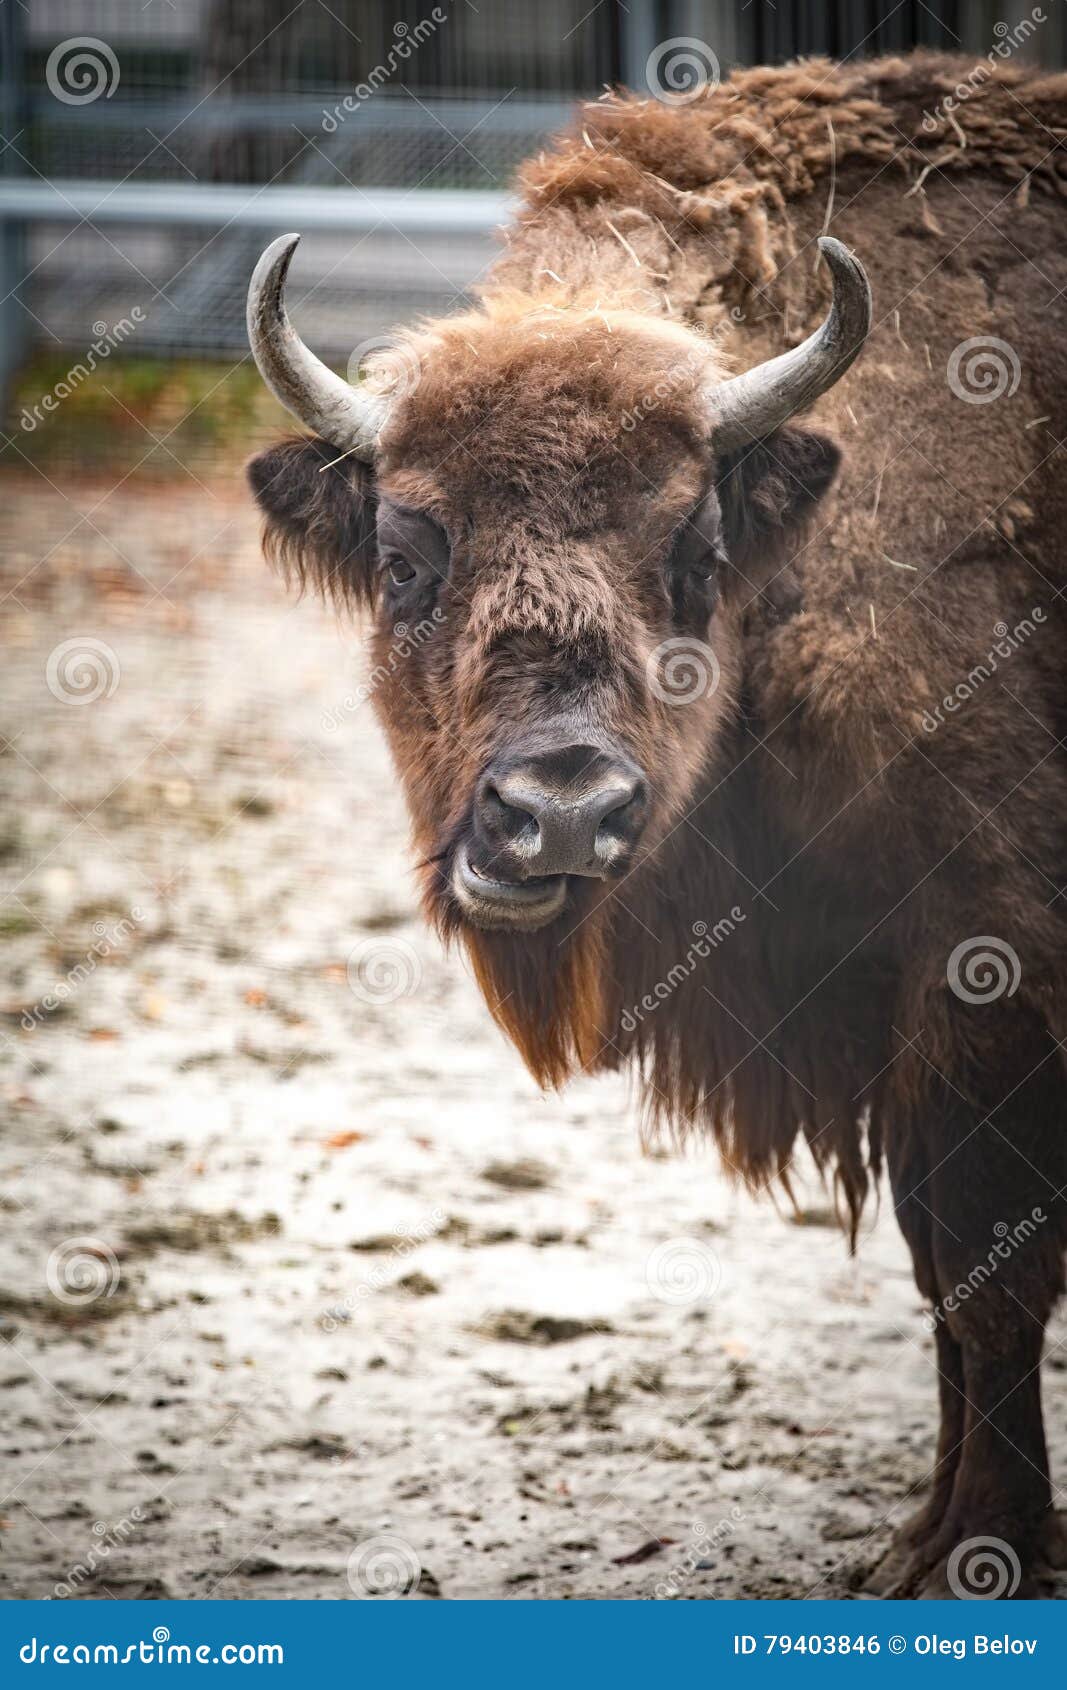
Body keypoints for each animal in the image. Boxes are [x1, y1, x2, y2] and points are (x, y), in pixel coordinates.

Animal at [245, 52, 1067, 1597]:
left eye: (694, 546)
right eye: (404, 554)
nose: (557, 811)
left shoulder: (990, 966)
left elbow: (989, 1271)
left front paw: (980, 1550)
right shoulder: (889, 1004)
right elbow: (936, 1261)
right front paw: (916, 1539)